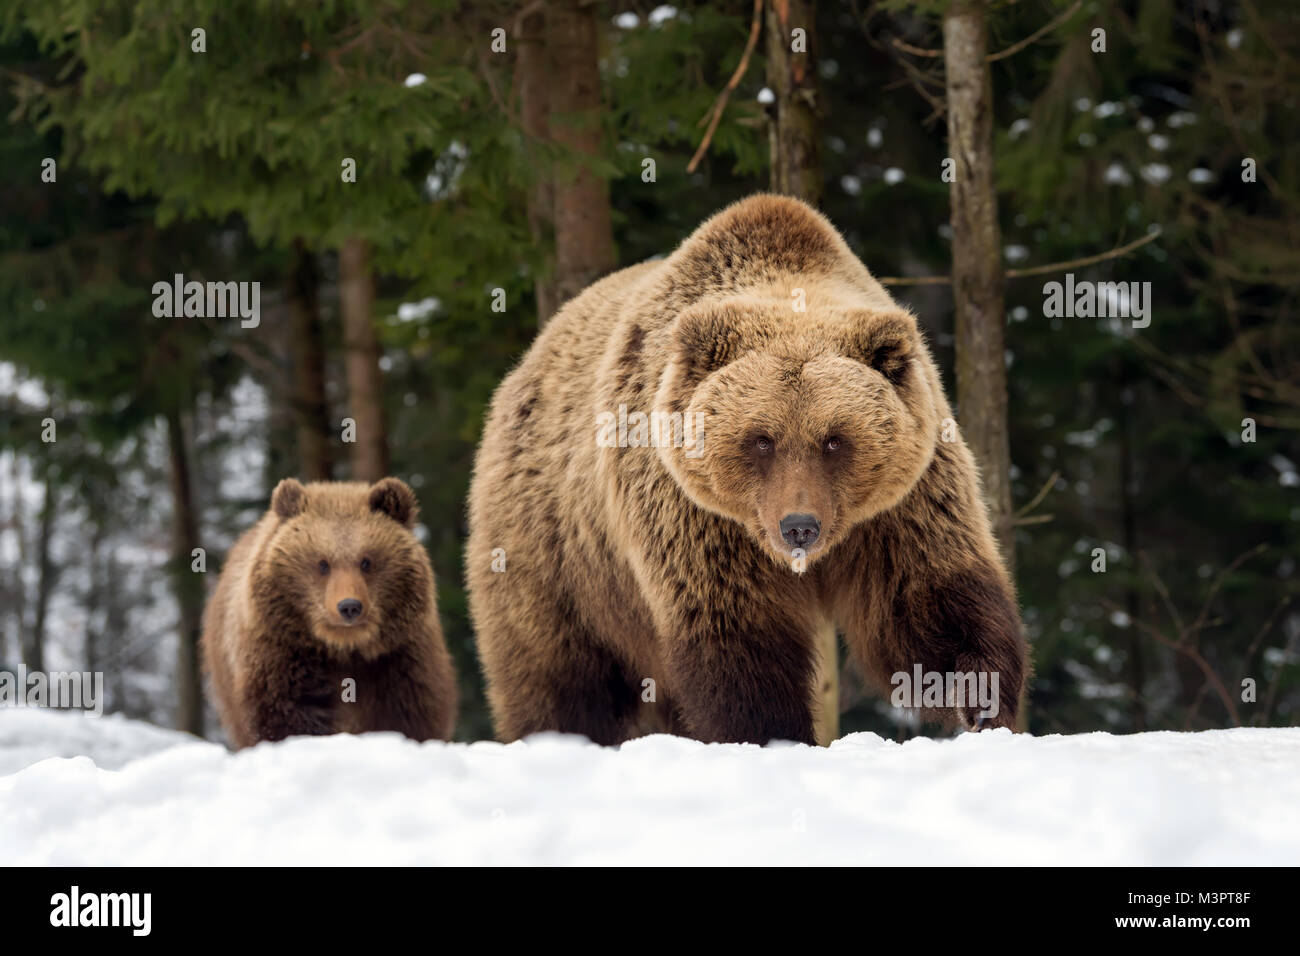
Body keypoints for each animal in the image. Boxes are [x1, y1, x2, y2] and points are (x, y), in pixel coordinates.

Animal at [201, 477, 456, 748]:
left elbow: (406, 713)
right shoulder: (283, 653)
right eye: (322, 563)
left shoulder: (398, 659)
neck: (342, 648)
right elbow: (286, 712)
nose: (349, 606)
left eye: (366, 561)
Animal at [466, 194, 1027, 746]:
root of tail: (527, 362)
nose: (799, 526)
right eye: (761, 439)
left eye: (834, 439)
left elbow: (927, 592)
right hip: (557, 549)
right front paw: (770, 734)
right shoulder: (695, 512)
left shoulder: (900, 502)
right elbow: (737, 636)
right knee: (558, 672)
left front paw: (980, 700)